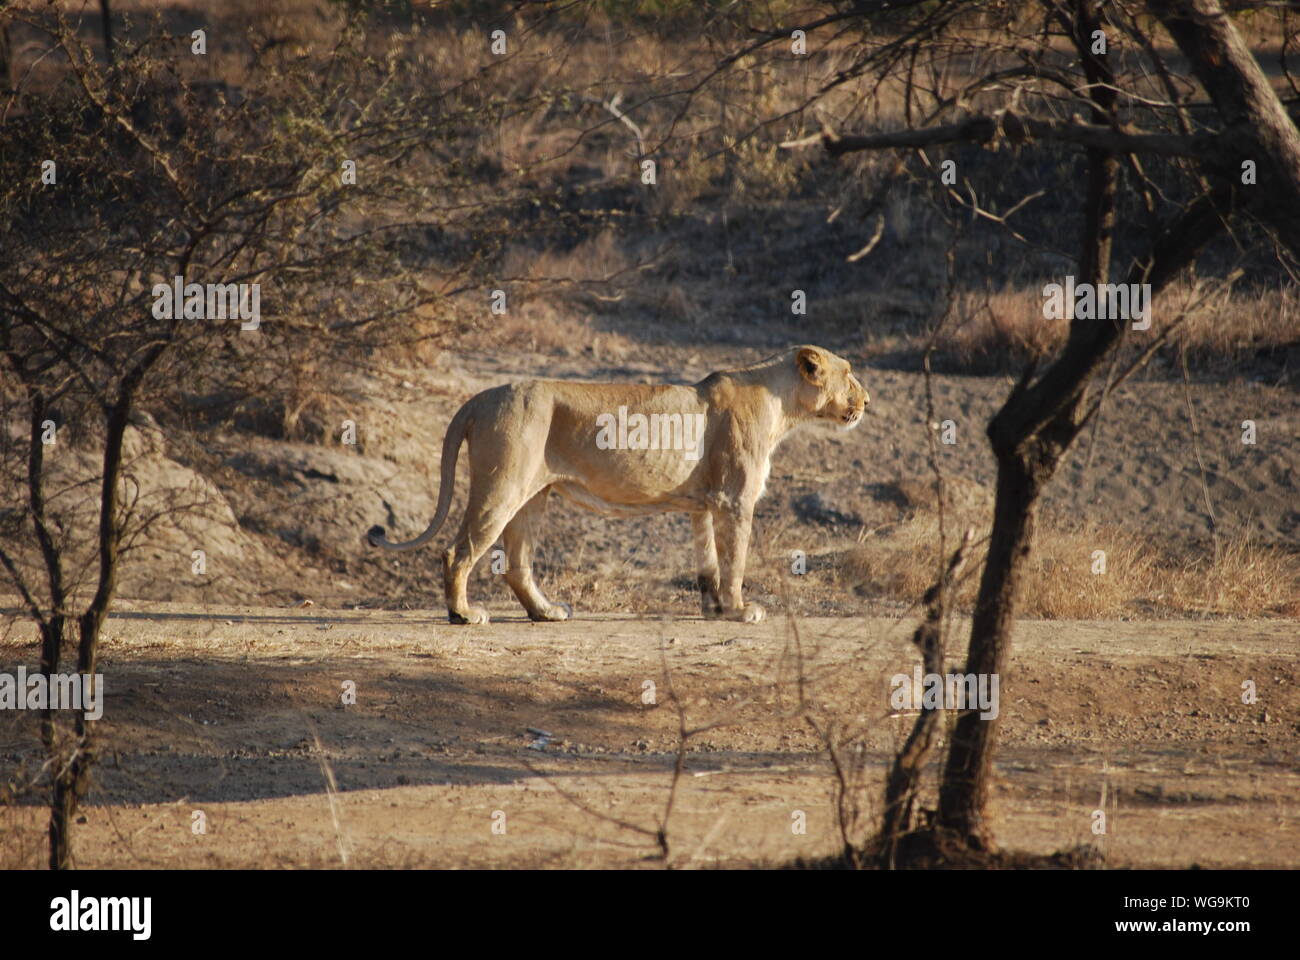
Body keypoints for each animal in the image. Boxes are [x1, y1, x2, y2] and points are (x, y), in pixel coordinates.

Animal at [367, 345, 868, 624]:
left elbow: (707, 564)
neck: (783, 405)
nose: (866, 400)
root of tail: (480, 397)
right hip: (503, 486)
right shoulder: (734, 500)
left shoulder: (703, 505)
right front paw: (741, 611)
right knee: (458, 552)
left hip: (533, 496)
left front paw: (715, 611)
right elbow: (734, 563)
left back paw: (546, 613)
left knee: (516, 564)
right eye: (849, 375)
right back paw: (463, 615)